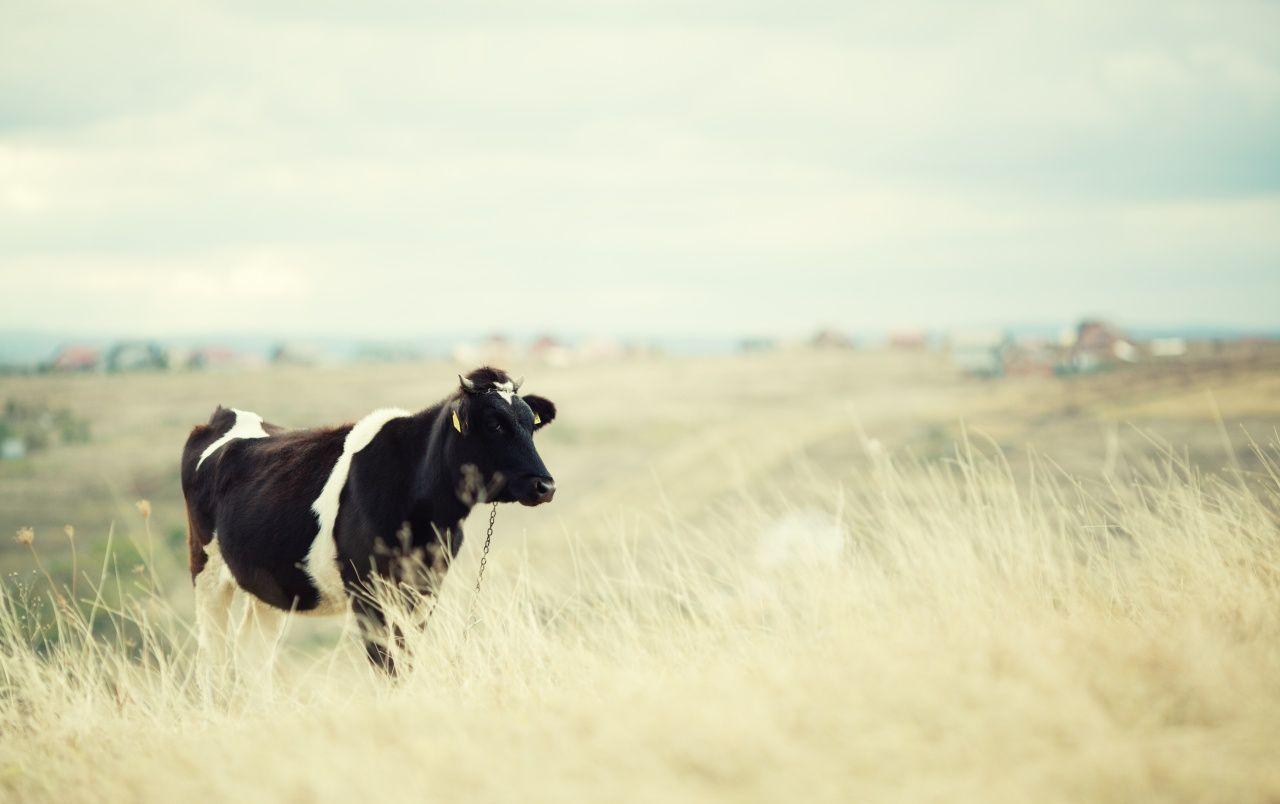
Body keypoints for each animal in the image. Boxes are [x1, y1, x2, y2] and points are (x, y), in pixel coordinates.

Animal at [180, 366, 557, 676]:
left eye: (530, 424)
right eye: (494, 424)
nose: (545, 486)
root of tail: (224, 415)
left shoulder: (425, 587)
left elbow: (405, 658)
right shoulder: (366, 588)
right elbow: (386, 663)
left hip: (268, 587)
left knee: (253, 654)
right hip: (208, 573)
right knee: (212, 658)